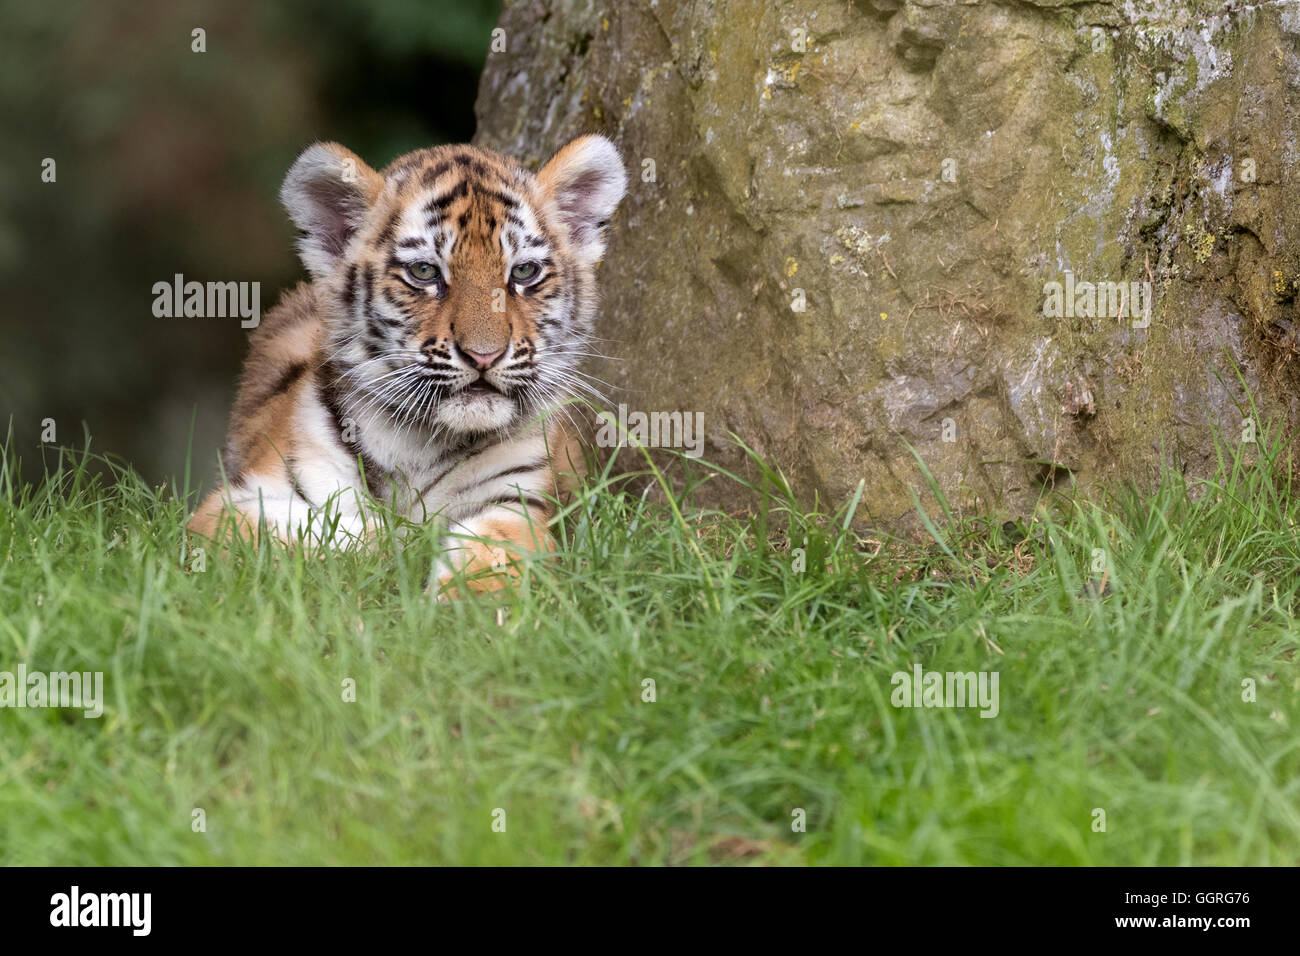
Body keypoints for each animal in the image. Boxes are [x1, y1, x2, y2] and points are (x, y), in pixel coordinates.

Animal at [187, 134, 627, 596]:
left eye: (524, 271)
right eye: (424, 272)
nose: (484, 355)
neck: (420, 444)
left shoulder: (518, 506)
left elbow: (491, 565)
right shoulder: (232, 503)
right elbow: (327, 533)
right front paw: (402, 550)